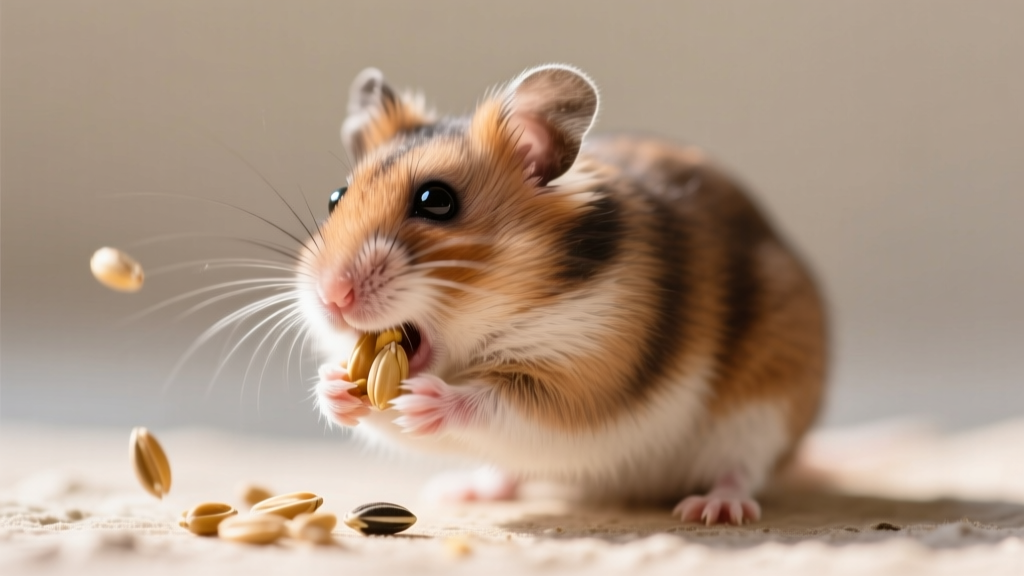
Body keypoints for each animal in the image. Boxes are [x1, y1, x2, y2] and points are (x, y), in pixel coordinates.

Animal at [301, 64, 827, 525]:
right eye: (334, 198)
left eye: (436, 201)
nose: (332, 296)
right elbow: (391, 420)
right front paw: (334, 388)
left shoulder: (588, 373)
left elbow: (502, 405)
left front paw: (425, 400)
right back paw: (460, 491)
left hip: (768, 401)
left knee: (741, 469)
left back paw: (712, 509)